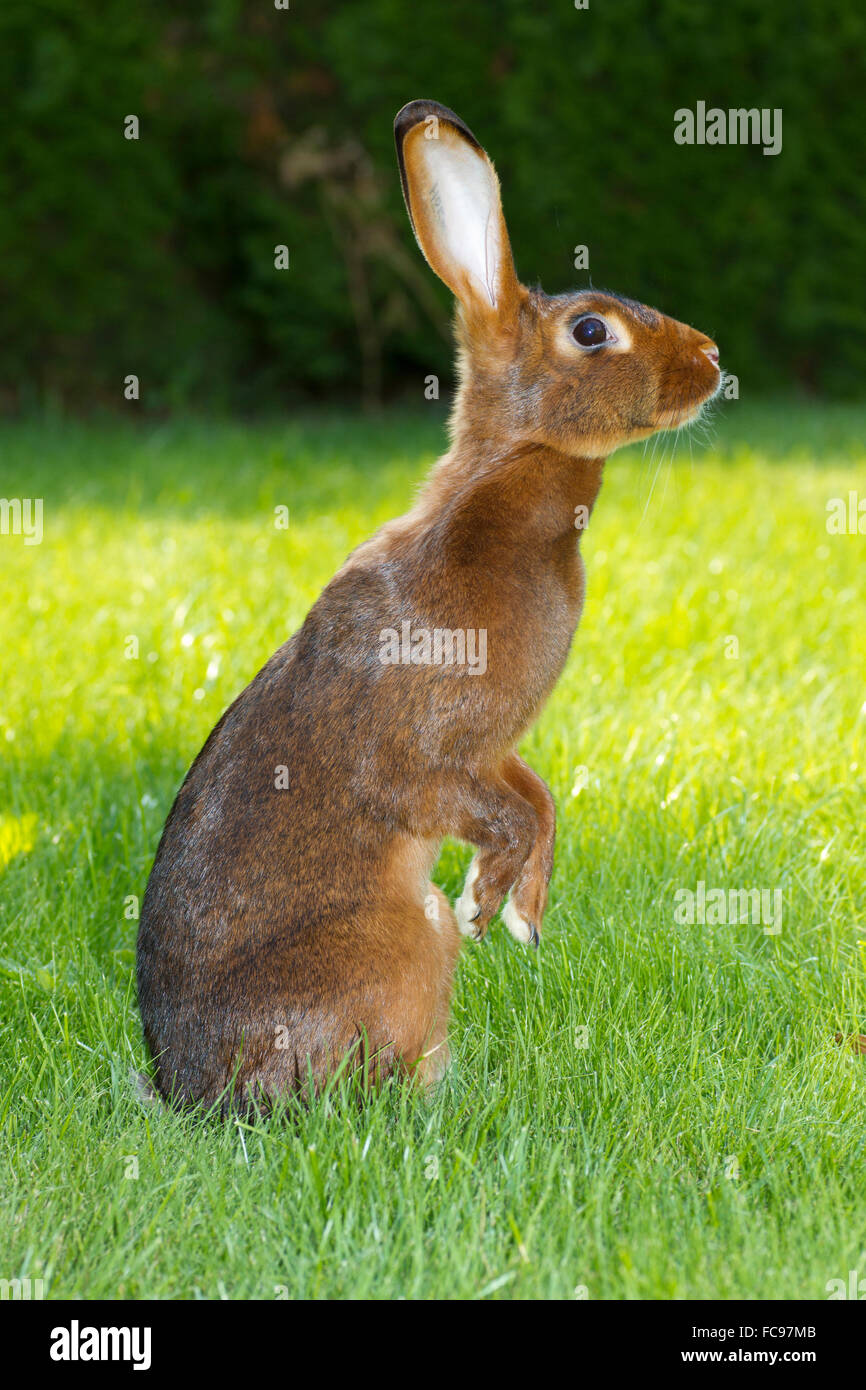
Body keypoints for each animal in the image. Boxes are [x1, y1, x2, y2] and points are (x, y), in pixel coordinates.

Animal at [137, 99, 721, 1112]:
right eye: (592, 332)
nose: (713, 359)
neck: (507, 473)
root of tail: (192, 1090)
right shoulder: (429, 756)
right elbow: (479, 805)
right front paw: (492, 901)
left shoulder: (498, 750)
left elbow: (540, 798)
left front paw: (524, 908)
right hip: (409, 939)